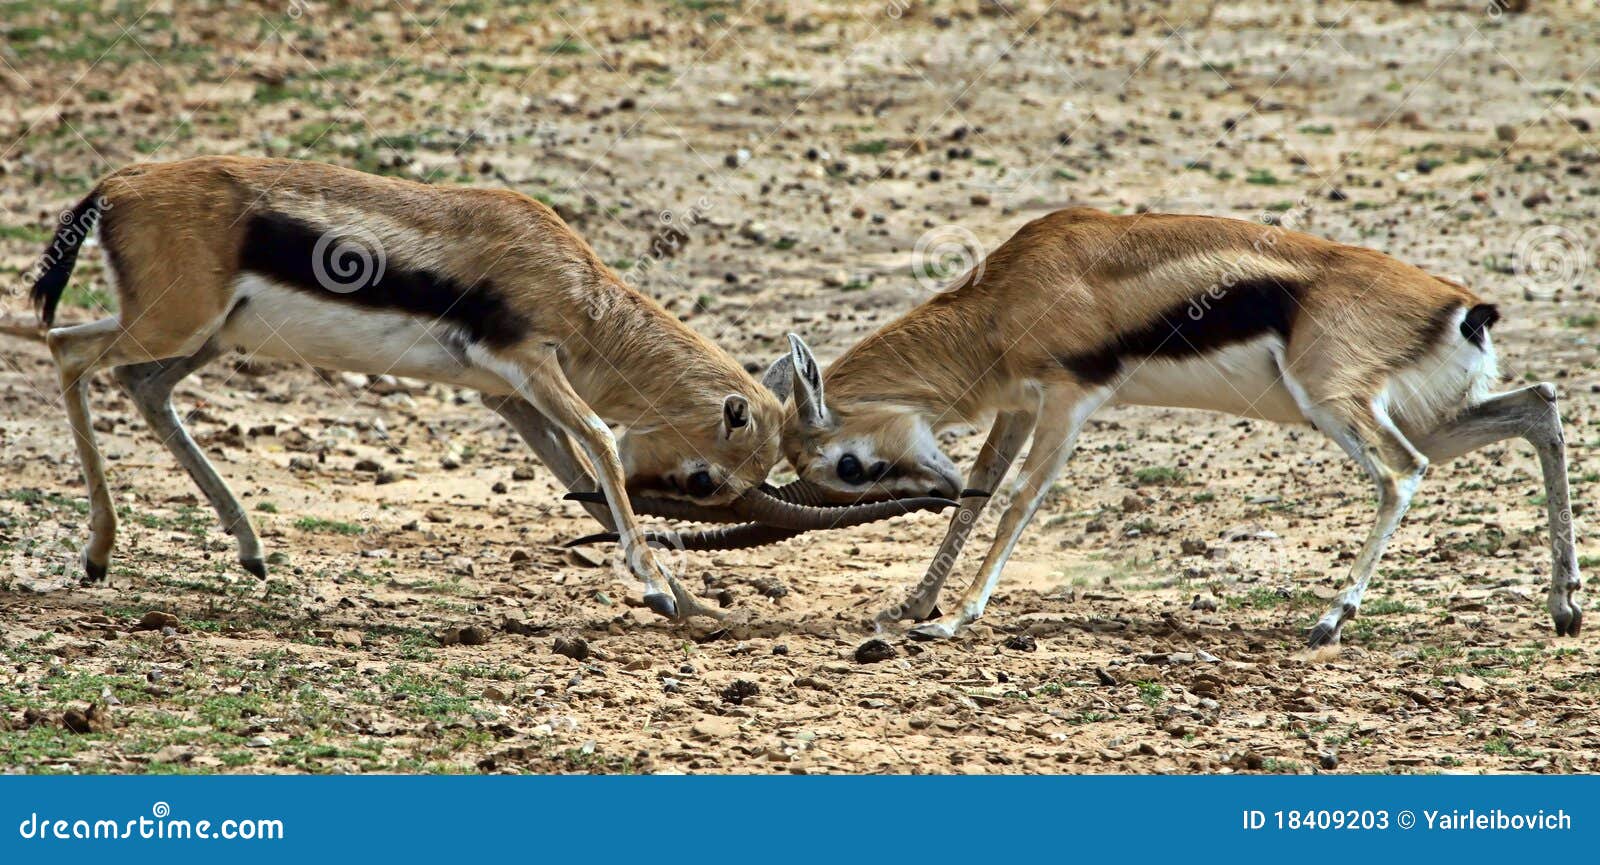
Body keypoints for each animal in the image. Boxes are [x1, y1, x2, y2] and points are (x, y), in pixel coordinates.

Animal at [24, 155, 935, 622]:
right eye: (710, 481)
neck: (578, 290)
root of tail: (116, 186)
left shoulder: (507, 394)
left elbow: (577, 473)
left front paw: (669, 589)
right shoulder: (531, 366)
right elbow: (599, 446)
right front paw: (664, 591)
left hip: (206, 338)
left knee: (141, 387)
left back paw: (246, 547)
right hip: (175, 325)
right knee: (67, 351)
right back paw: (99, 552)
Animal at [642, 208, 1582, 645]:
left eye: (844, 468)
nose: (923, 485)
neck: (1004, 300)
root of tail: (1463, 307)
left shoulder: (1066, 403)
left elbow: (1019, 503)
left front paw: (953, 619)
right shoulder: (1020, 406)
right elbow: (981, 492)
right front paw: (913, 603)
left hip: (1340, 409)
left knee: (1403, 473)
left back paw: (1329, 619)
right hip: (1438, 411)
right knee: (1538, 405)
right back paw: (1565, 605)